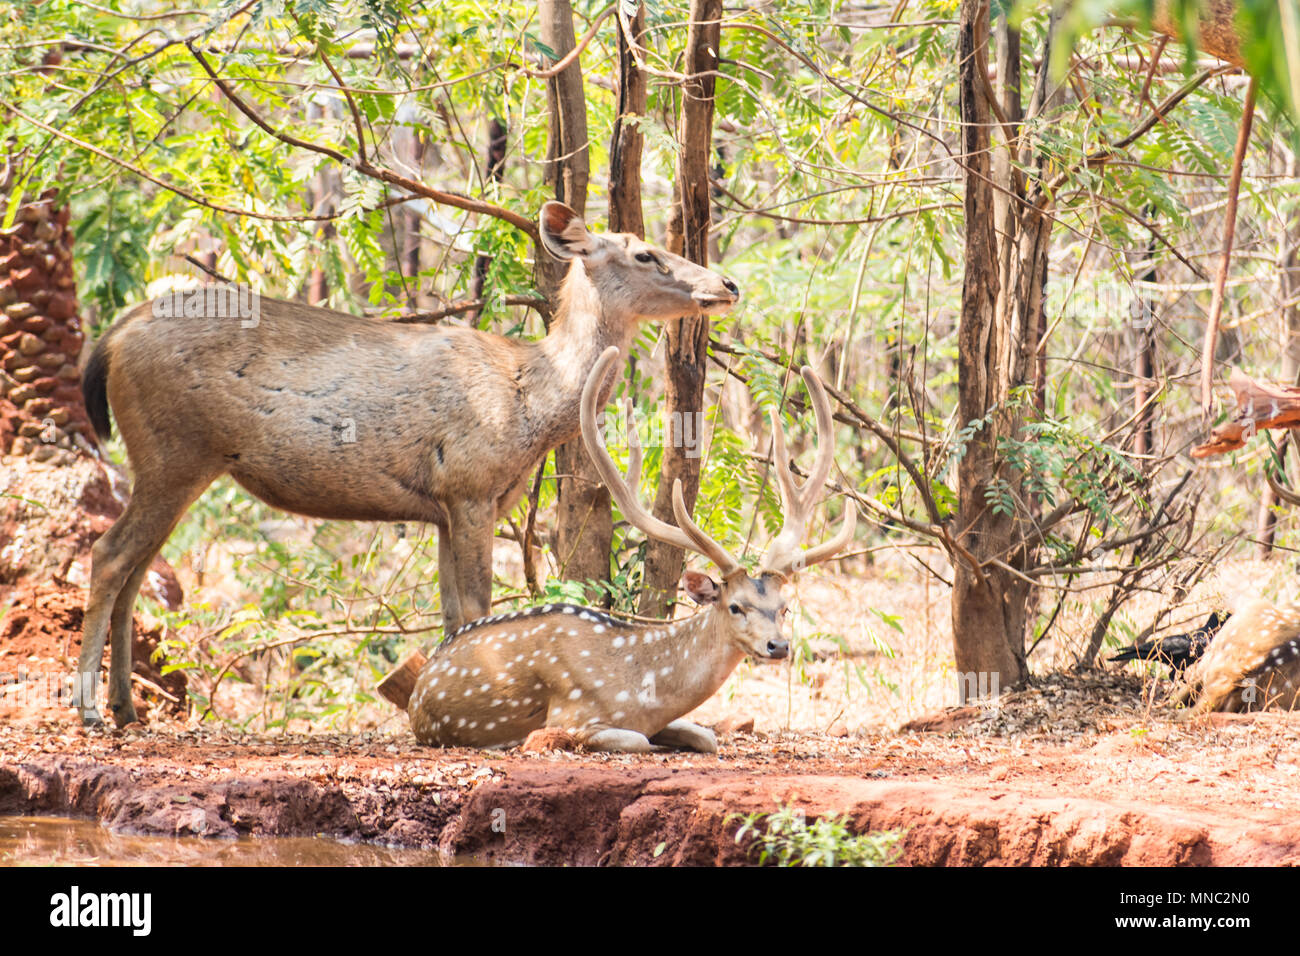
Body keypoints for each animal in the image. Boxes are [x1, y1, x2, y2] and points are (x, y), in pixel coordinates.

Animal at [74, 202, 739, 727]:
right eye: (645, 253)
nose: (727, 284)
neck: (530, 401)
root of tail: (111, 338)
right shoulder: (469, 486)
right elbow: (477, 609)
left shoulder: (446, 507)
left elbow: (452, 615)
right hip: (173, 451)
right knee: (109, 555)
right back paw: (88, 710)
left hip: (172, 462)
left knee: (138, 571)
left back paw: (126, 708)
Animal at [404, 345, 856, 753]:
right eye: (735, 606)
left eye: (784, 608)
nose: (778, 646)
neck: (642, 687)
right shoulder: (575, 715)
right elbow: (637, 740)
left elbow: (706, 736)